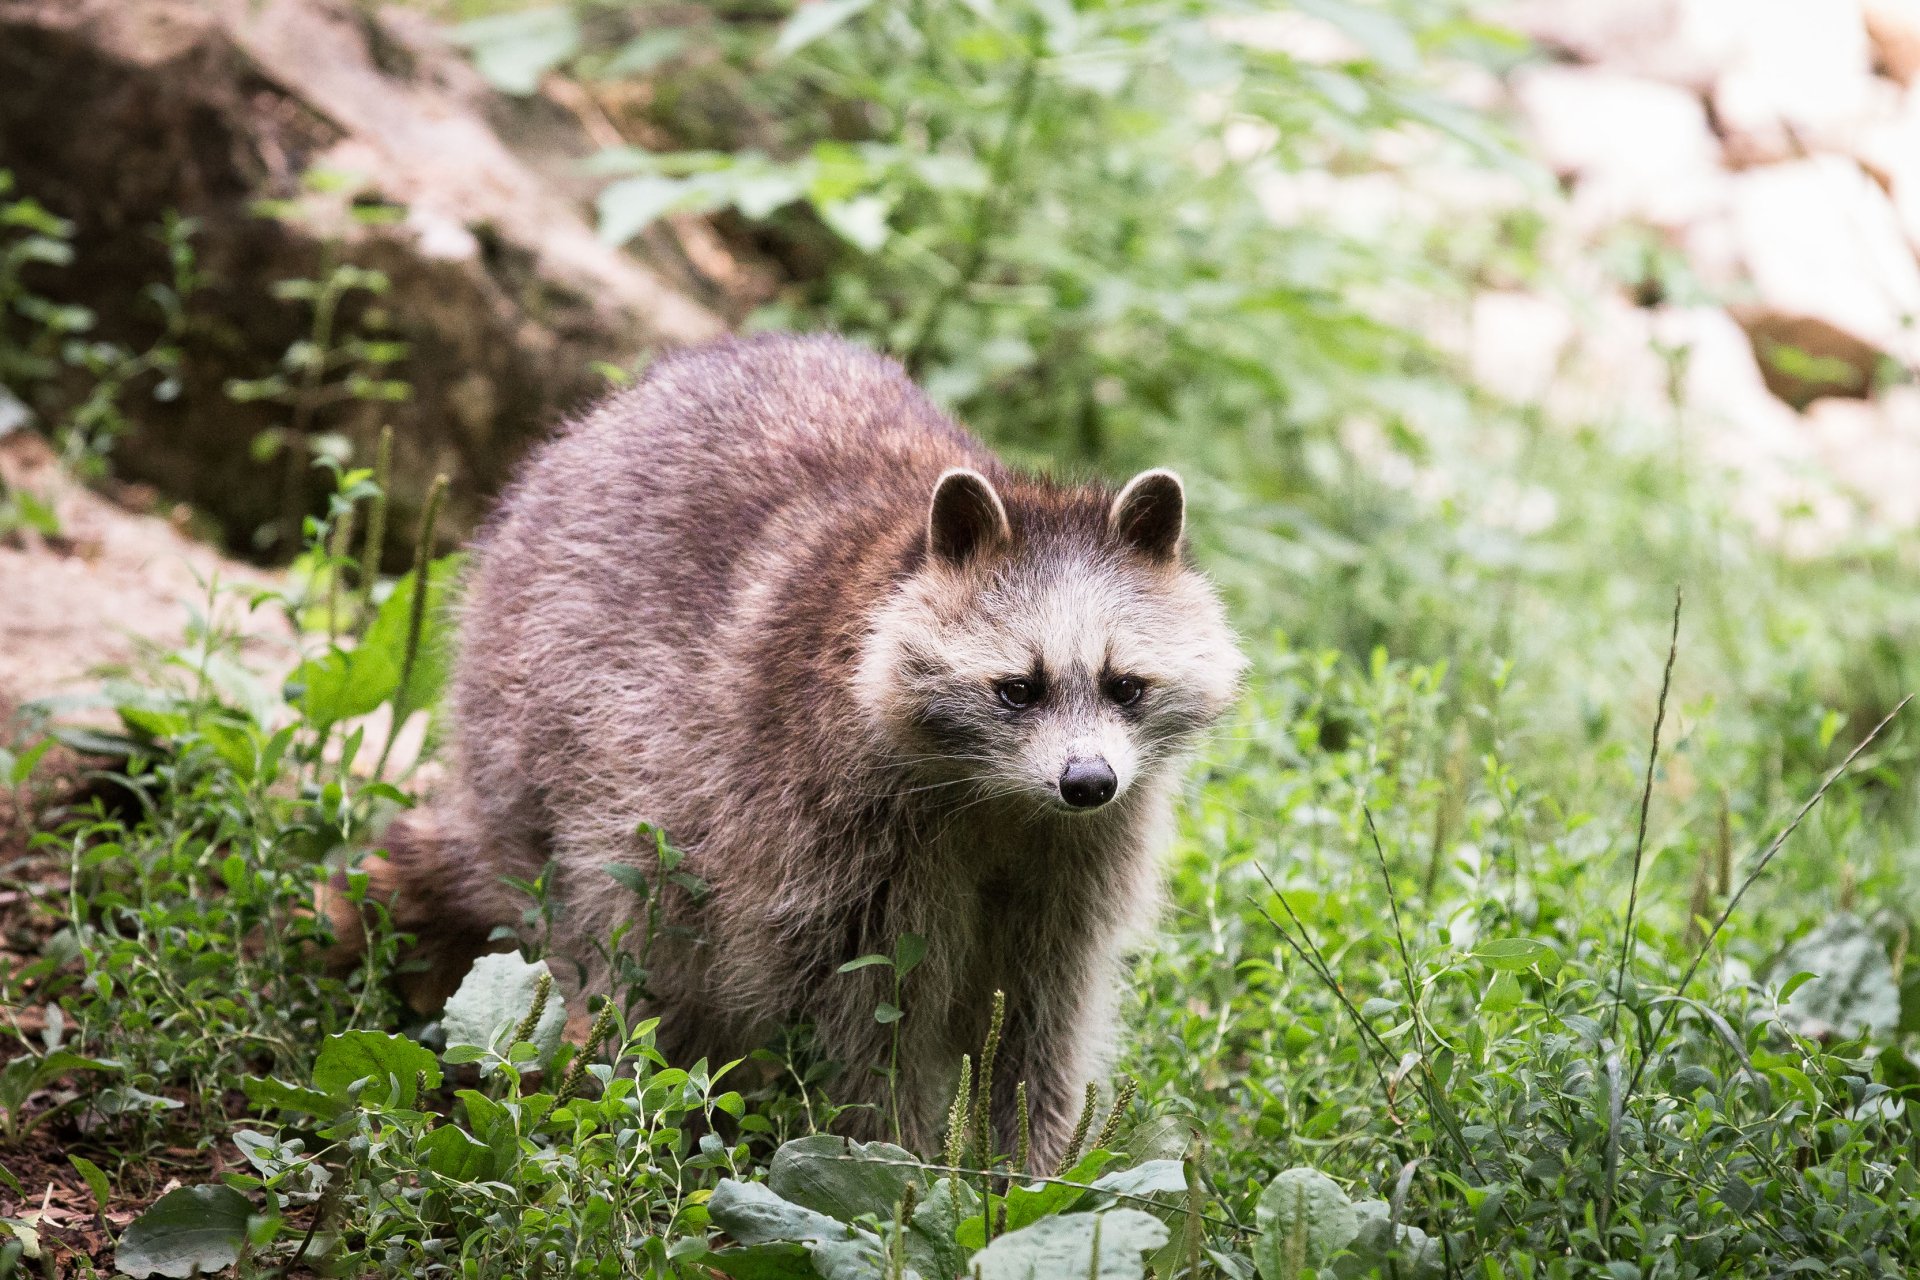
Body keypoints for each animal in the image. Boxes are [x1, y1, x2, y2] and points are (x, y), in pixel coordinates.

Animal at [339, 333, 1244, 1169]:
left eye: (1125, 685)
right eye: (1018, 688)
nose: (1087, 780)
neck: (999, 798)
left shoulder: (1082, 854)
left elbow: (1038, 1009)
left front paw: (1028, 1163)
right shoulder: (816, 814)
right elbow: (863, 1011)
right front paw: (894, 1152)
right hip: (549, 736)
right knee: (624, 934)